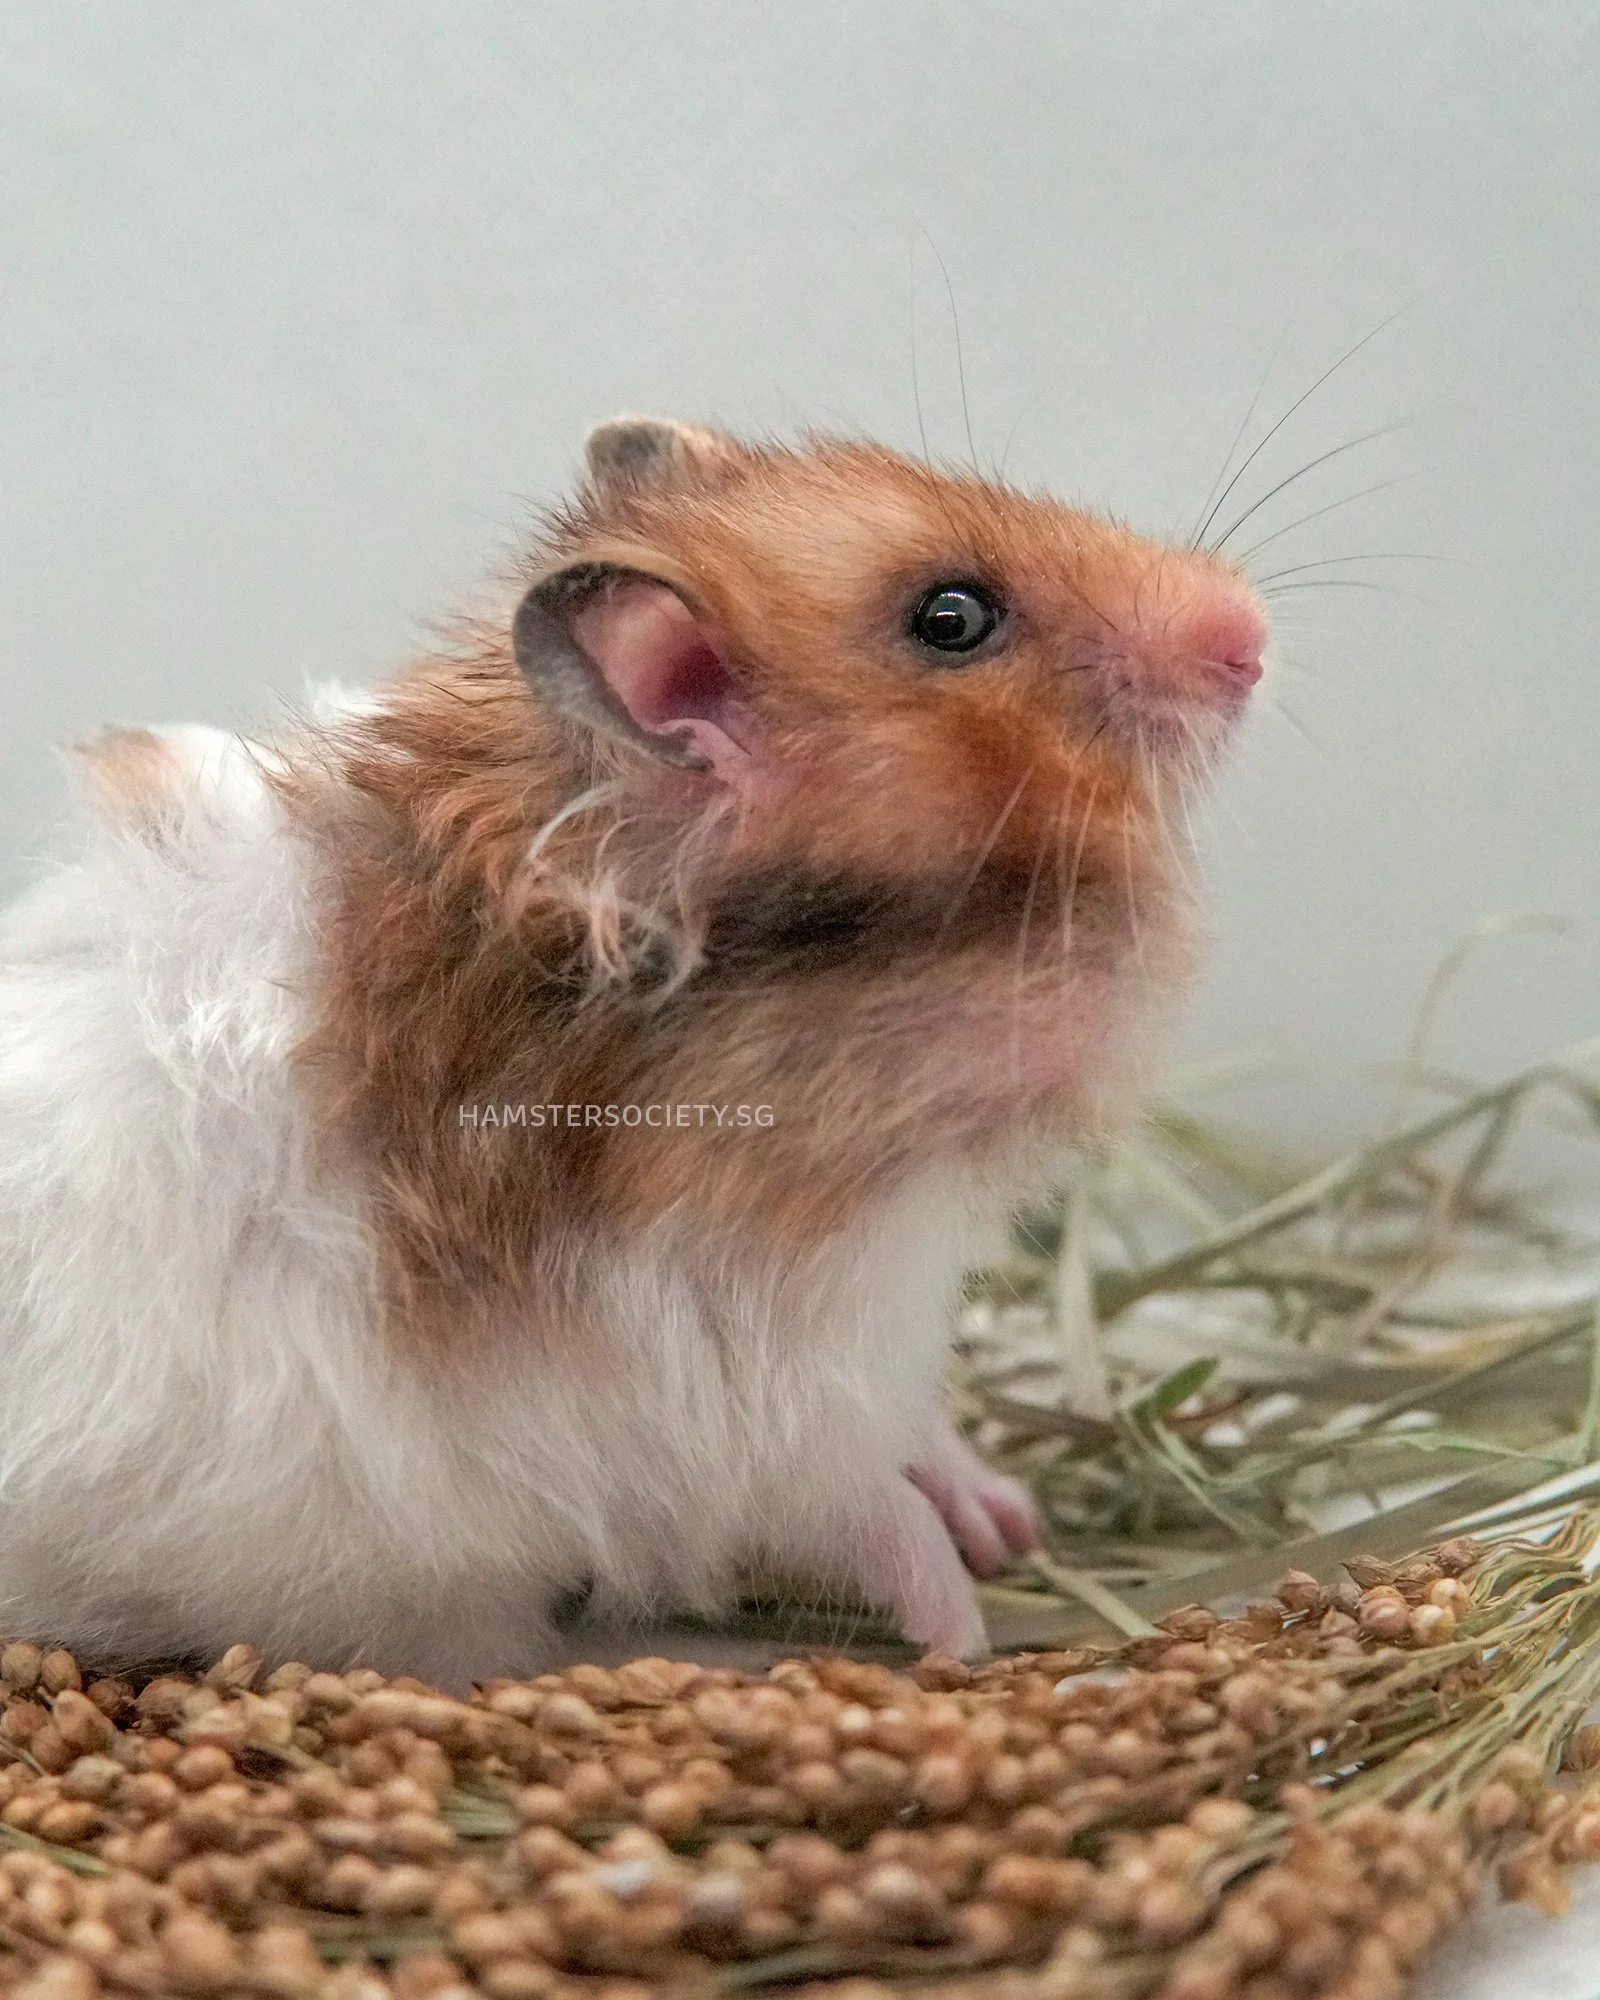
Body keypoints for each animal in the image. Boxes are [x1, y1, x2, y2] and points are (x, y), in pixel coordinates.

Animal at [0, 418, 1264, 1685]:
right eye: (951, 619)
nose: (1251, 629)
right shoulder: (756, 1398)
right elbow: (873, 1514)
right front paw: (965, 1644)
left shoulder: (877, 1332)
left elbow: (928, 1436)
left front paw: (1011, 1520)